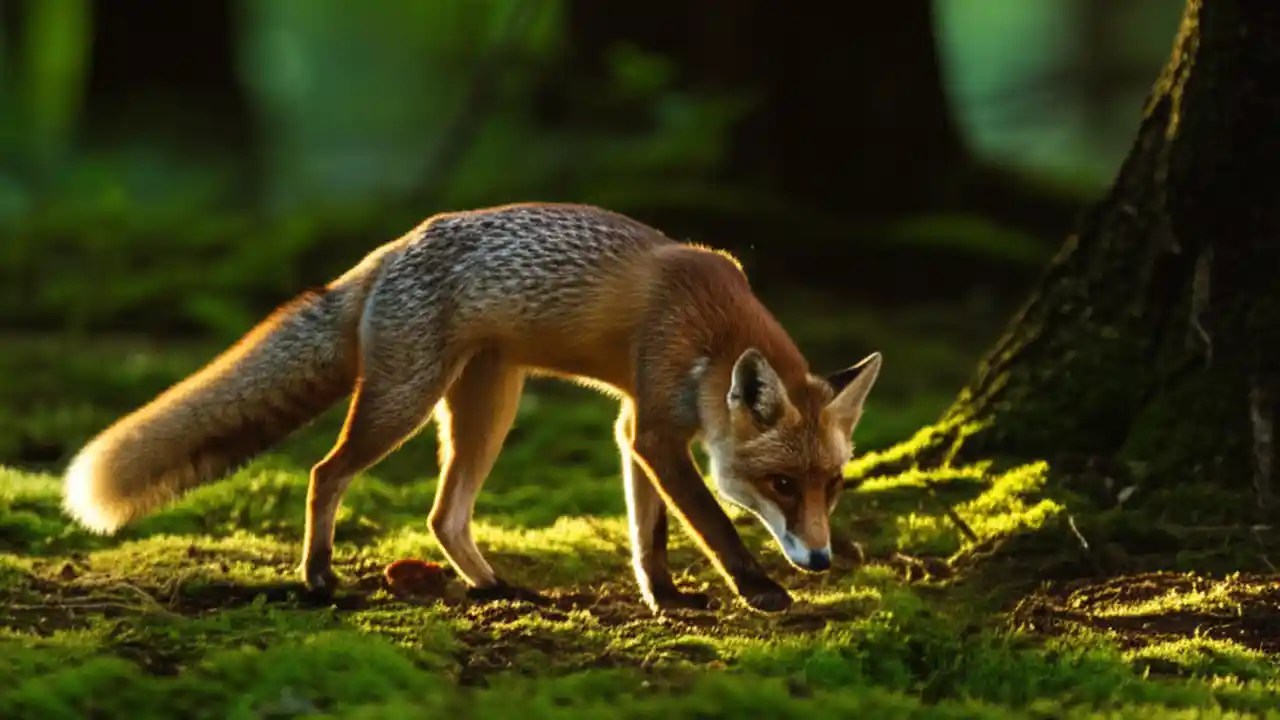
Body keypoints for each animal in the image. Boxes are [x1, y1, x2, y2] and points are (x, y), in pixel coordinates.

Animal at [63, 203, 881, 613]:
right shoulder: (653, 430)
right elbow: (712, 523)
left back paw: (492, 587)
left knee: (441, 516)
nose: (820, 559)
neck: (710, 331)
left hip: (488, 407)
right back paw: (319, 576)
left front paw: (667, 599)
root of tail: (390, 248)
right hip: (404, 402)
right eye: (782, 485)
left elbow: (650, 535)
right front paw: (759, 590)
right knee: (326, 473)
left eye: (834, 485)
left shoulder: (636, 430)